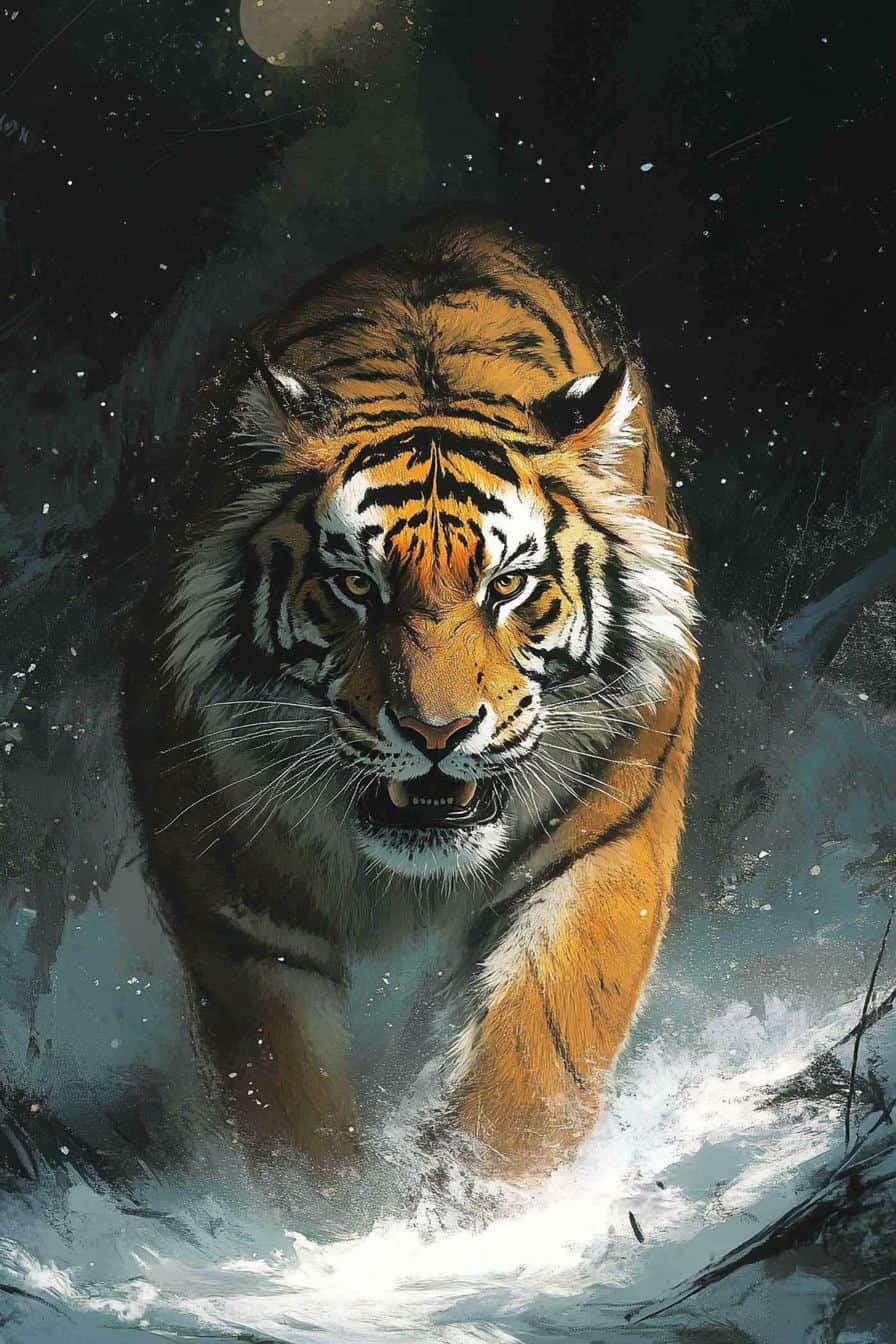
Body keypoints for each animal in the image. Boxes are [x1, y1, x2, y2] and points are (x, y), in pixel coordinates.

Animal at [124, 214, 699, 1183]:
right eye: (357, 586)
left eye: (509, 586)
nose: (438, 731)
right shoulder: (239, 909)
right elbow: (286, 1104)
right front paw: (324, 1214)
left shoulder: (606, 837)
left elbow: (538, 1055)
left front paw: (472, 1204)